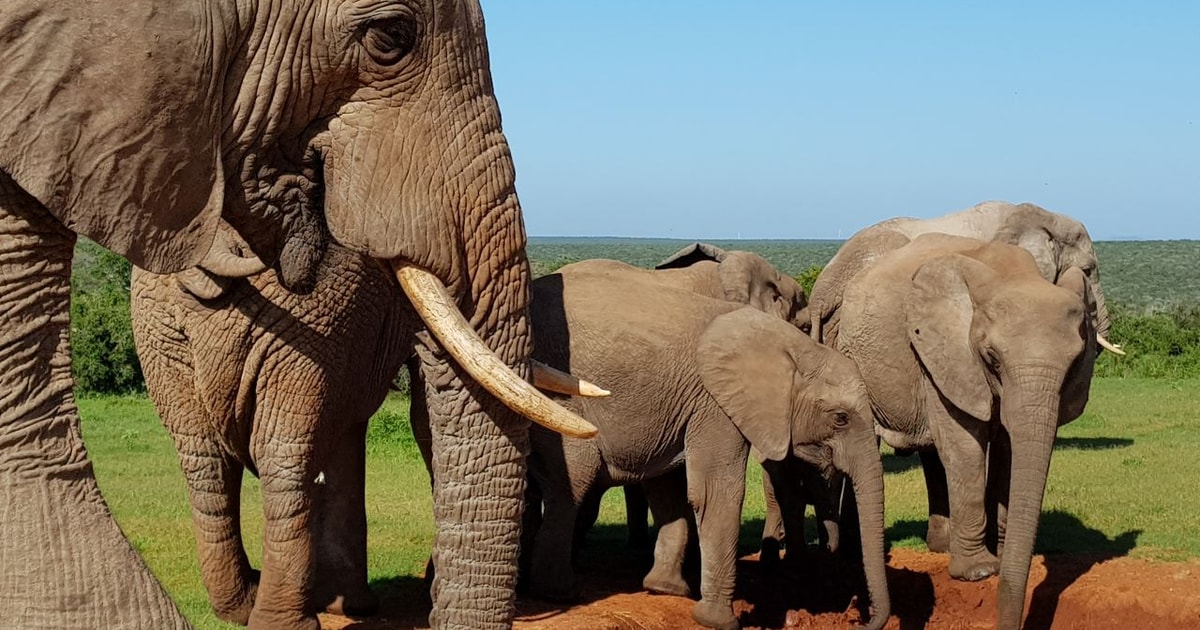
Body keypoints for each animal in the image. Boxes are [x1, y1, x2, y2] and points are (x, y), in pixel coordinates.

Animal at [526, 265, 890, 630]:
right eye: (841, 418)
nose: (861, 619)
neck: (790, 346)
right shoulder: (714, 403)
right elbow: (715, 492)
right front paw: (717, 621)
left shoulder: (680, 409)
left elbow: (669, 487)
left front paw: (667, 589)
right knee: (575, 479)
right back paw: (560, 591)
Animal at [836, 233, 1099, 630]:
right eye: (992, 358)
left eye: (1074, 363)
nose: (1008, 621)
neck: (1011, 272)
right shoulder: (945, 353)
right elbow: (965, 447)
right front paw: (979, 573)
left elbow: (1008, 450)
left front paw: (1001, 557)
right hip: (849, 352)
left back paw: (941, 546)